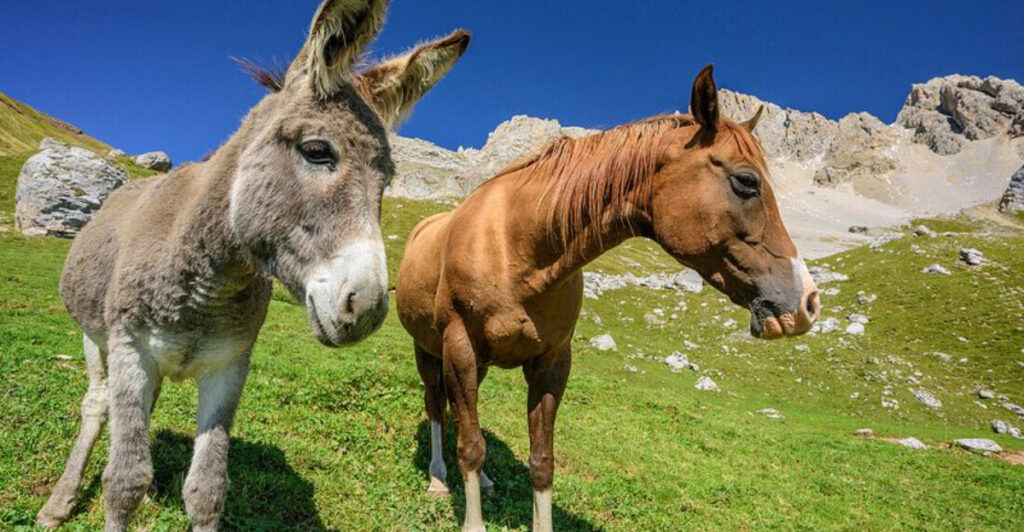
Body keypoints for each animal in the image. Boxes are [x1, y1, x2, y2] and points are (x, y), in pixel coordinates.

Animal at [36, 1, 470, 530]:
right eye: (317, 151)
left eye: (386, 181)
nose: (366, 310)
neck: (206, 284)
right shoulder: (130, 349)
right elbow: (123, 482)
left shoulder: (229, 364)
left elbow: (206, 488)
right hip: (97, 338)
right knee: (98, 405)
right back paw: (58, 502)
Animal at [396, 65, 821, 532]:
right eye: (746, 181)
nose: (807, 302)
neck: (514, 247)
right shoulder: (461, 349)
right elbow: (470, 446)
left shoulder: (551, 363)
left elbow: (541, 460)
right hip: (431, 352)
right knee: (437, 406)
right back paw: (438, 478)